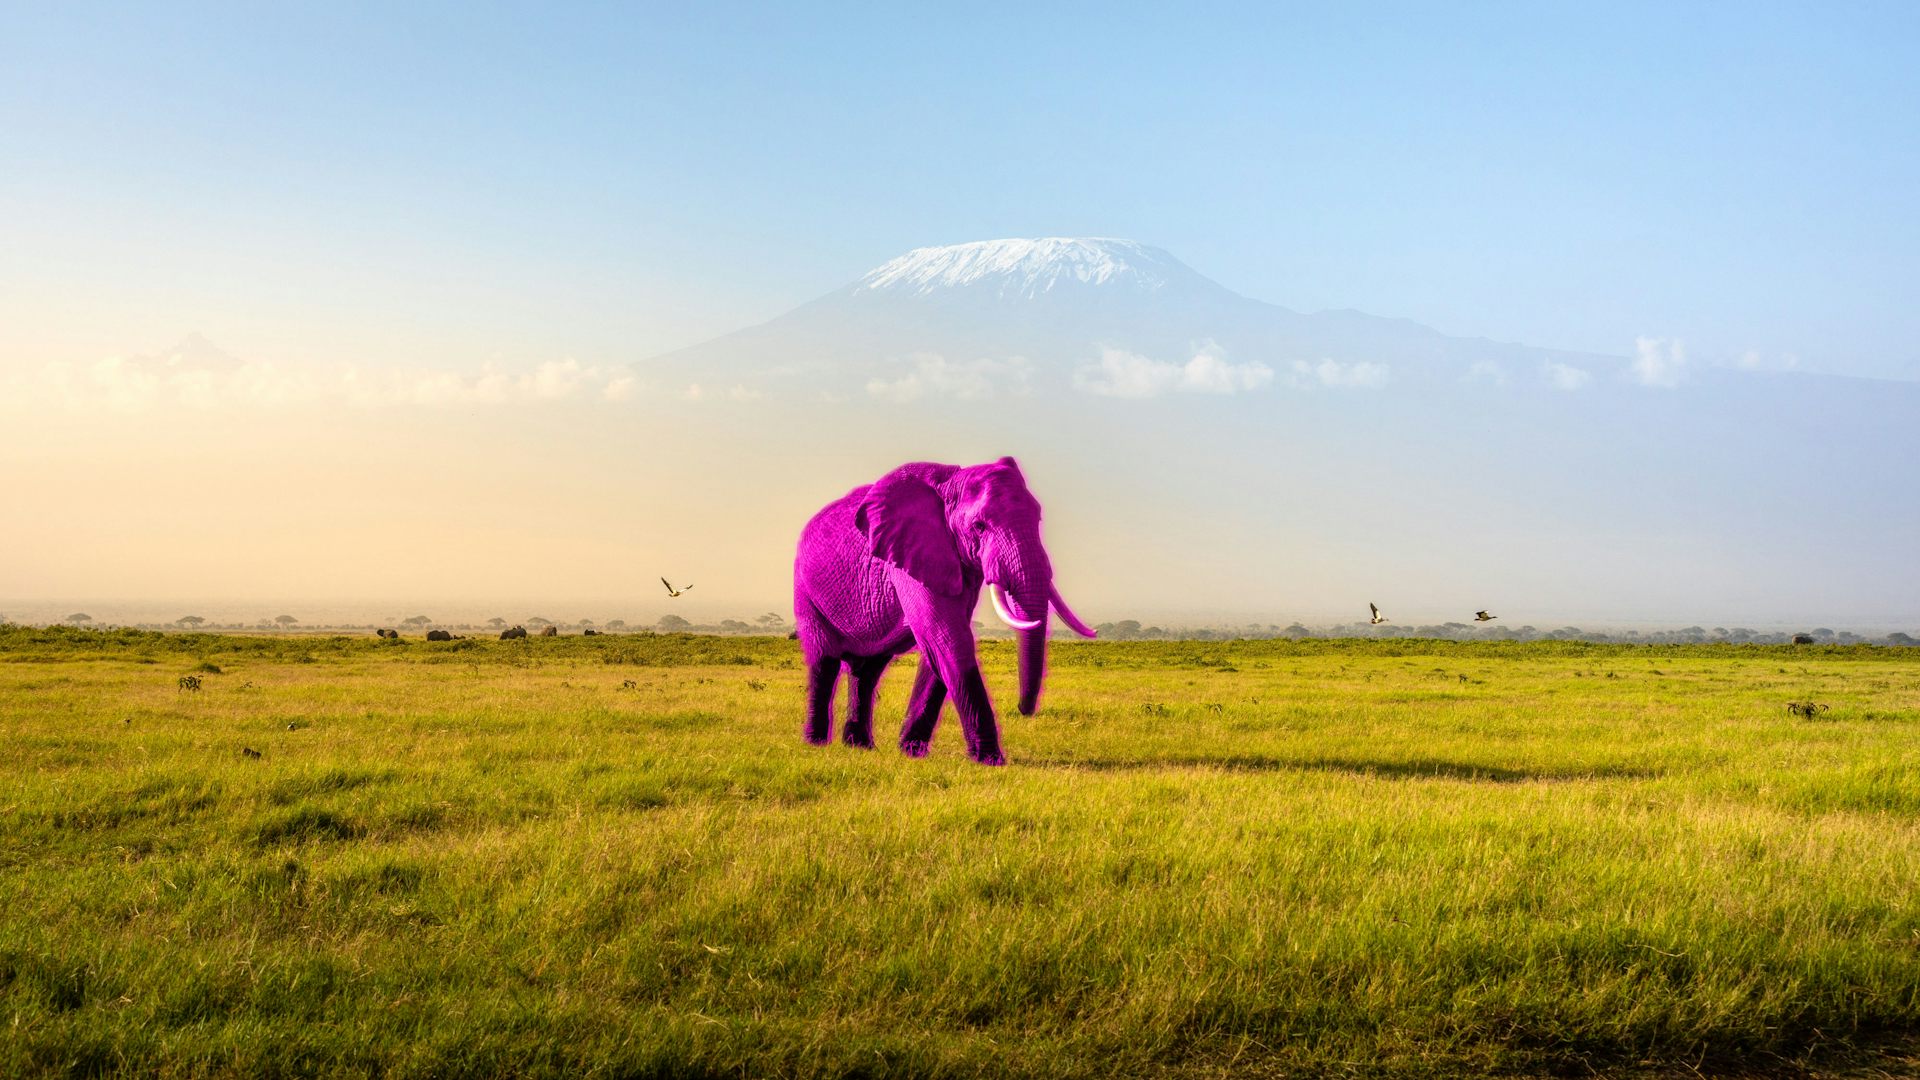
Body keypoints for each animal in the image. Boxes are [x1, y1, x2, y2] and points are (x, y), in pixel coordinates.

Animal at [793, 457, 1096, 765]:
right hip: (805, 588)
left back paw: (860, 747)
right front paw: (989, 760)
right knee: (825, 660)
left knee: (867, 670)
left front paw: (911, 751)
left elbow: (938, 645)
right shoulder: (911, 553)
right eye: (979, 526)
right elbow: (946, 636)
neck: (951, 483)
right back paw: (817, 744)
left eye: (1038, 519)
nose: (1023, 710)